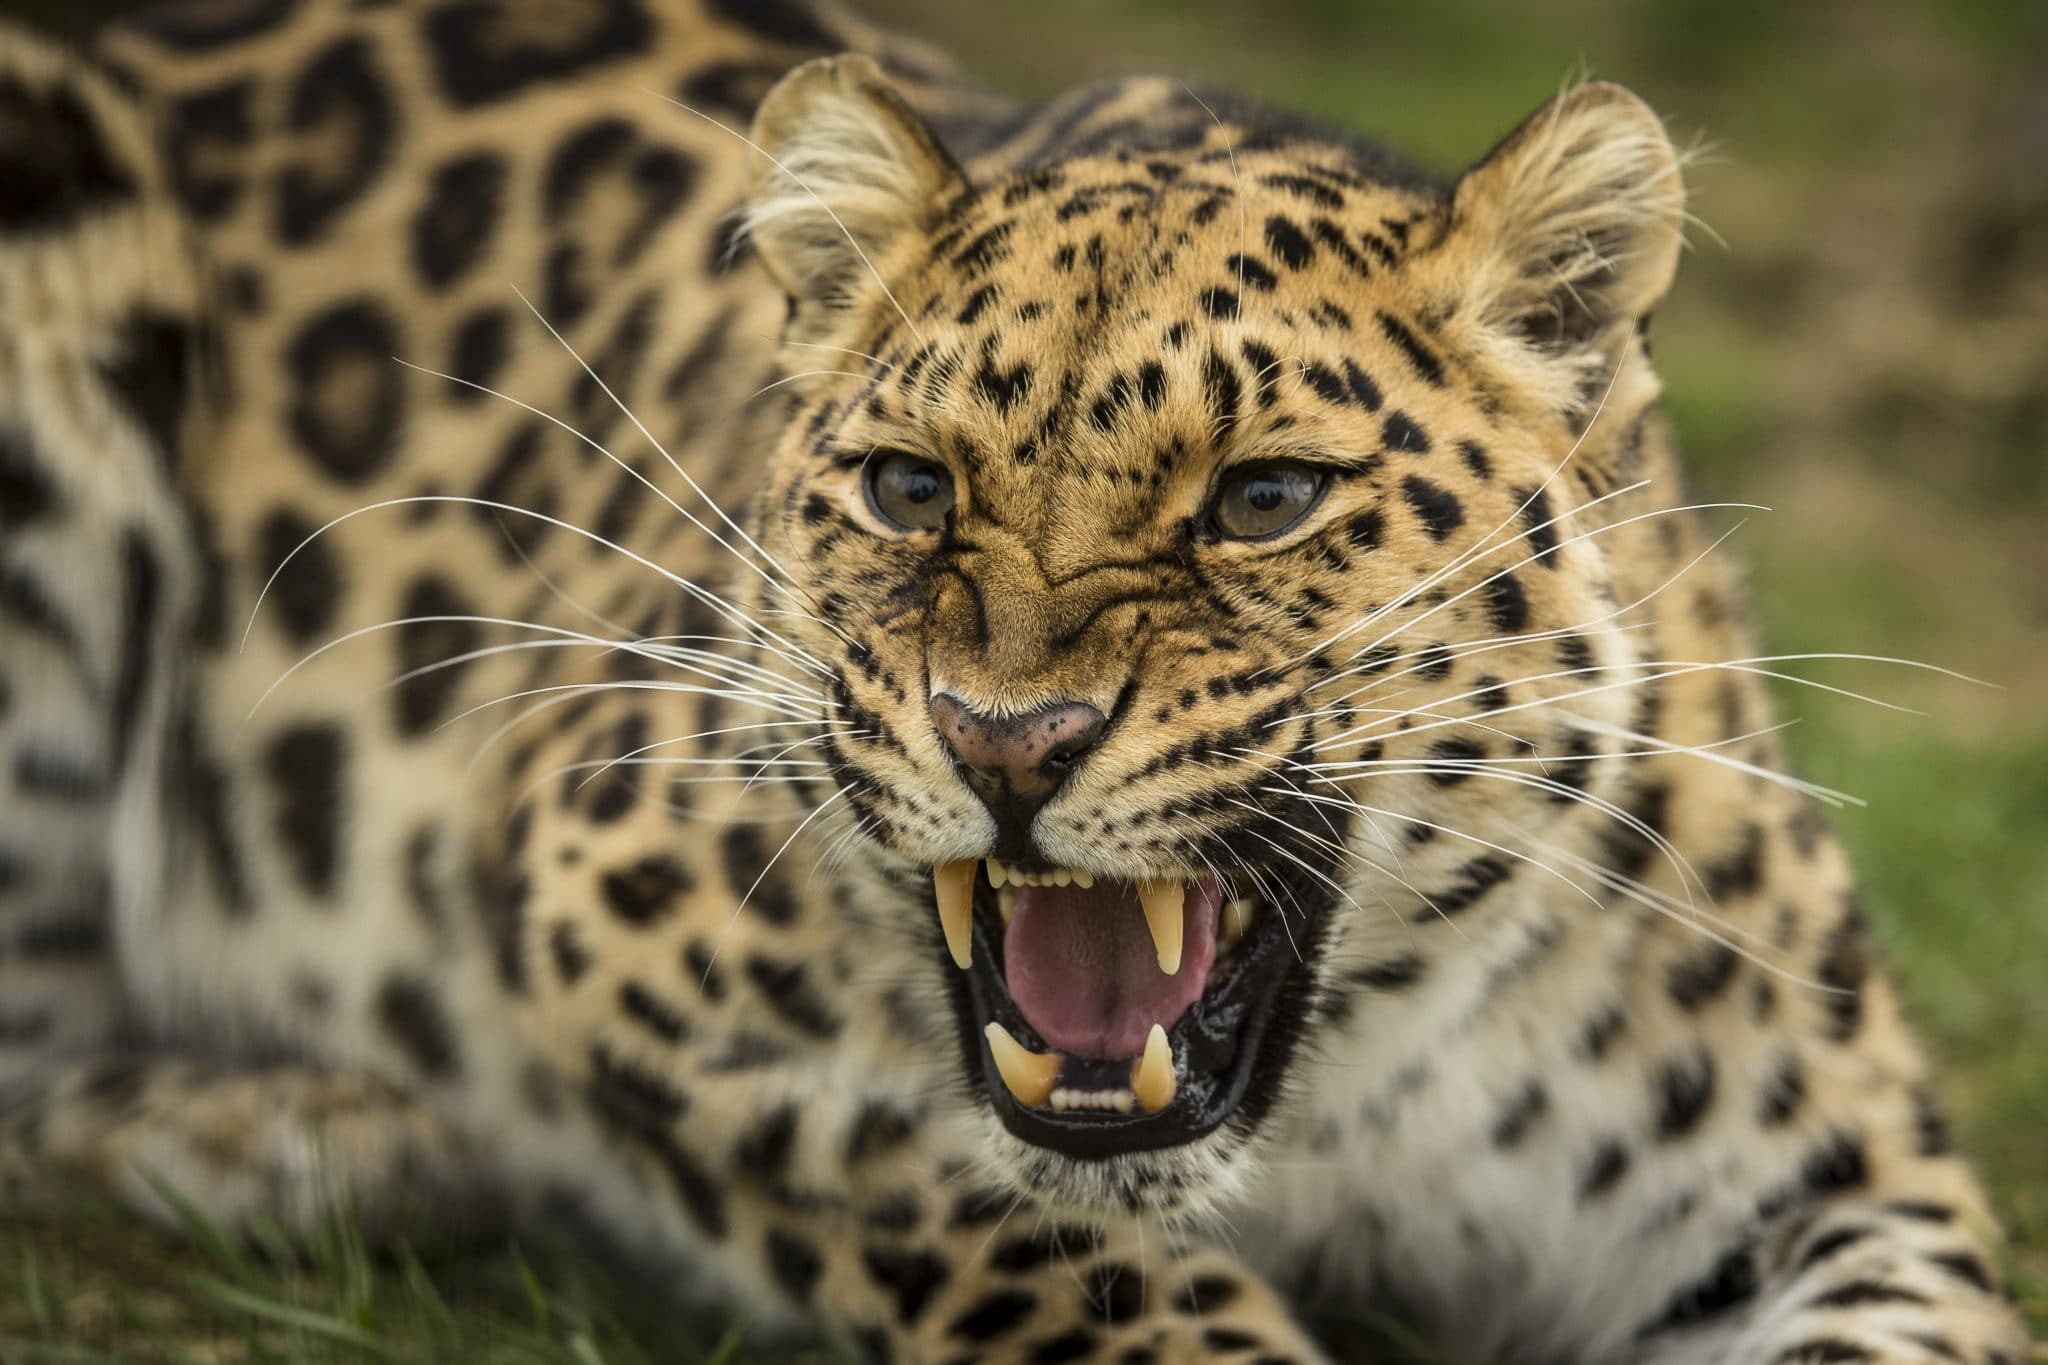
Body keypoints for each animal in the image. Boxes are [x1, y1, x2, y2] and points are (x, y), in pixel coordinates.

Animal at [0, 0, 2034, 1361]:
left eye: (1263, 499)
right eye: (911, 490)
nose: (1008, 743)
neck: (1343, 1093)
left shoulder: (1836, 1180)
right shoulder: (585, 895)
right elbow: (1021, 1234)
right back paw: (313, 1140)